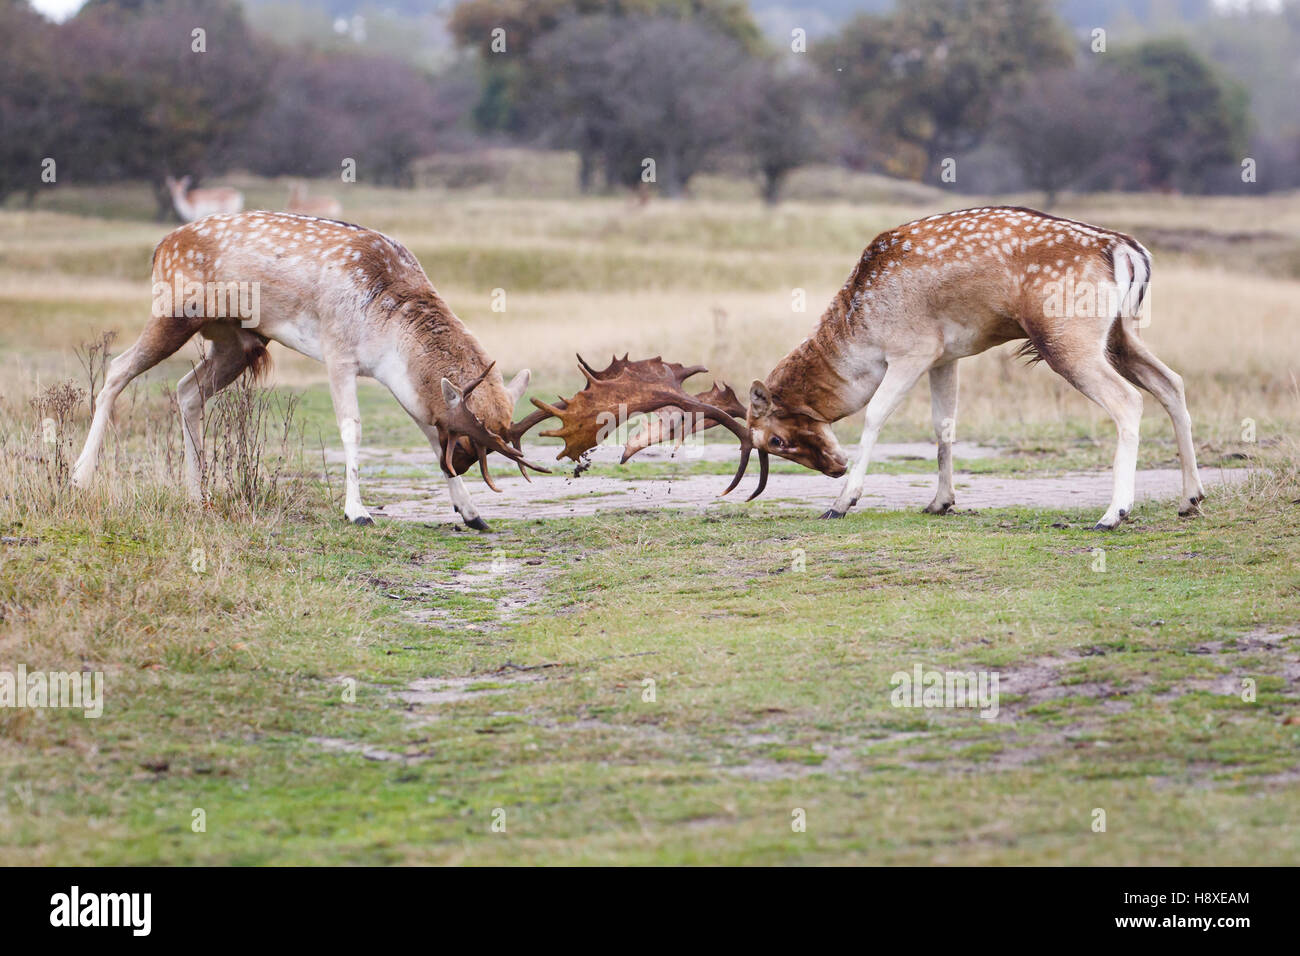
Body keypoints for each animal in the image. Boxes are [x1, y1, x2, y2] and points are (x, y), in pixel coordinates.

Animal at [71, 211, 550, 530]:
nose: (463, 464)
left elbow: (428, 432)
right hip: (172, 311)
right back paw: (79, 477)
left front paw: (472, 513)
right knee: (116, 370)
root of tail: (159, 248)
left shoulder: (407, 387)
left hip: (238, 342)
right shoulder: (338, 350)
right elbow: (352, 428)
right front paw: (357, 512)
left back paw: (197, 495)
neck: (387, 326)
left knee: (188, 389)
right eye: (474, 442)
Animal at [555, 208, 1204, 531]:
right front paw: (940, 502)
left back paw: (1113, 514)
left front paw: (843, 501)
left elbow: (875, 420)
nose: (833, 468)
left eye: (775, 441)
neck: (859, 332)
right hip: (1120, 333)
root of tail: (1126, 249)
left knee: (1129, 401)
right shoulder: (948, 354)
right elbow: (945, 427)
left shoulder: (912, 348)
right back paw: (1190, 500)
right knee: (1172, 384)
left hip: (1068, 337)